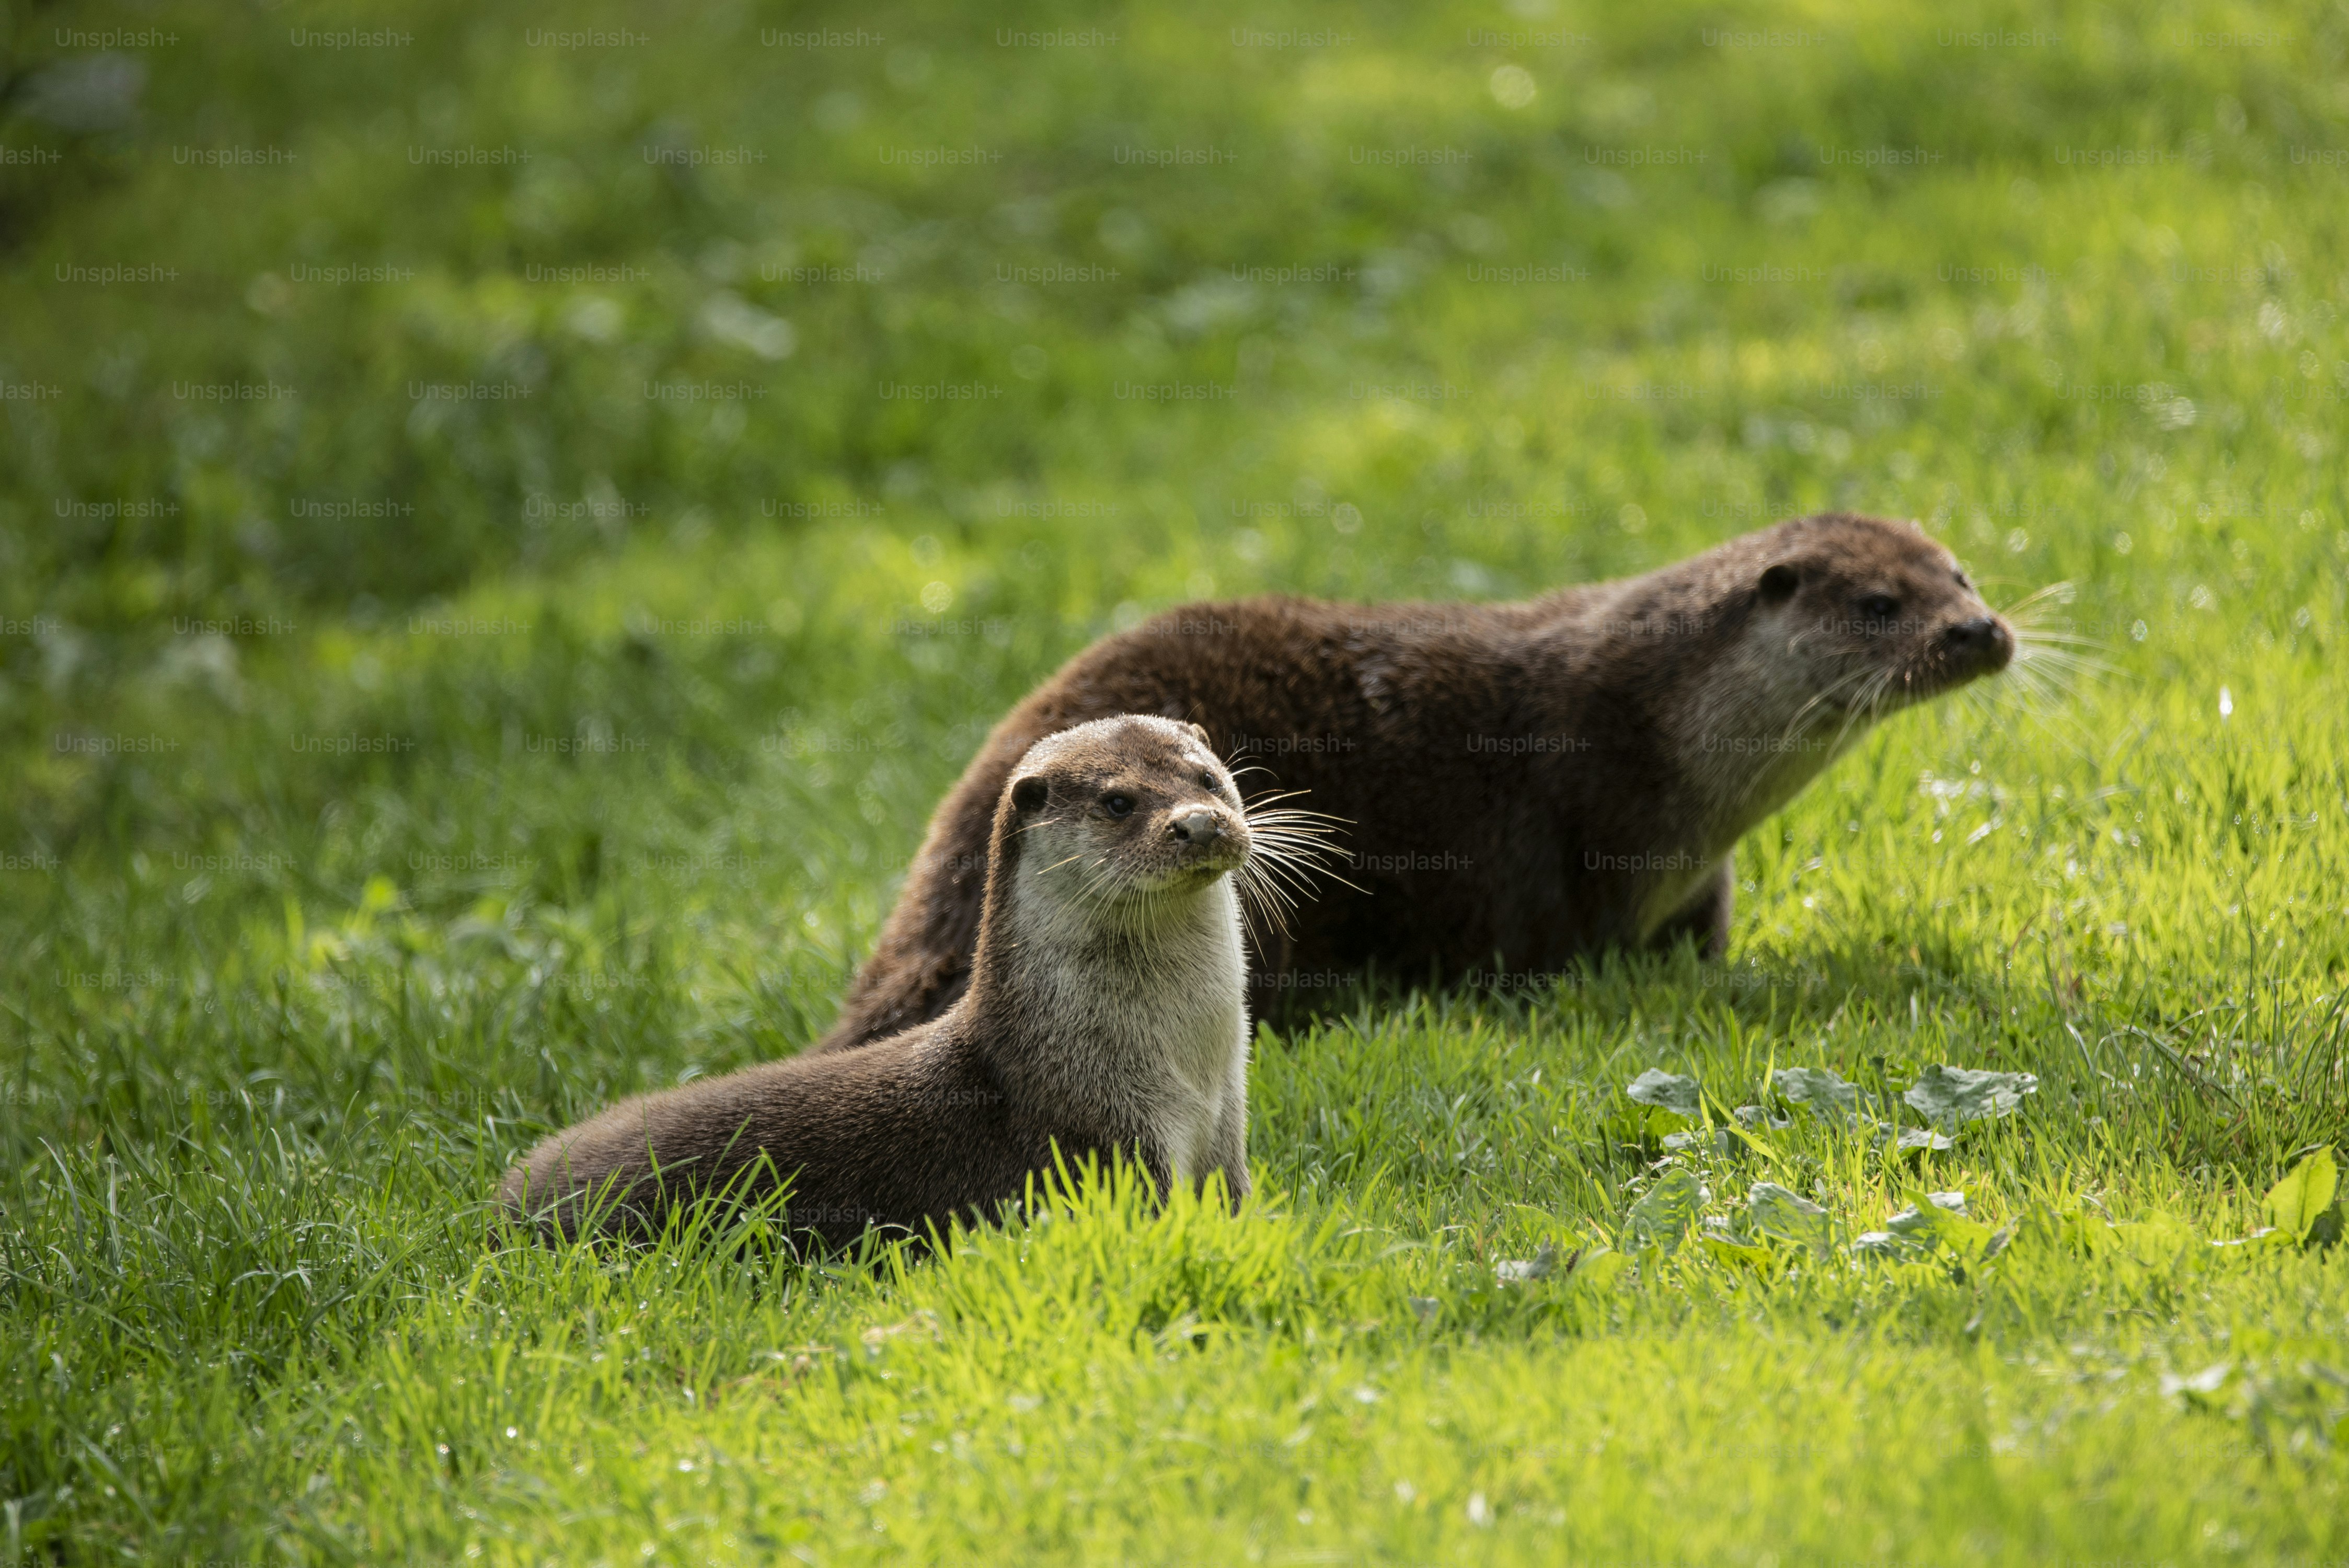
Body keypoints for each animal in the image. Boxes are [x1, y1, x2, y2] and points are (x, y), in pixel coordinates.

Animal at [501, 715, 1271, 1247]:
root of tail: (508, 1191)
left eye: (1207, 778)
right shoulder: (1107, 1138)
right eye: (1117, 803)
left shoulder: (1228, 1124)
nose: (1197, 823)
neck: (1187, 1067)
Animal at [818, 512, 2015, 1051]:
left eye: (1958, 573)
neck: (1653, 736)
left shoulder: (1698, 886)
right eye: (1878, 604)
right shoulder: (1544, 844)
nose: (1983, 630)